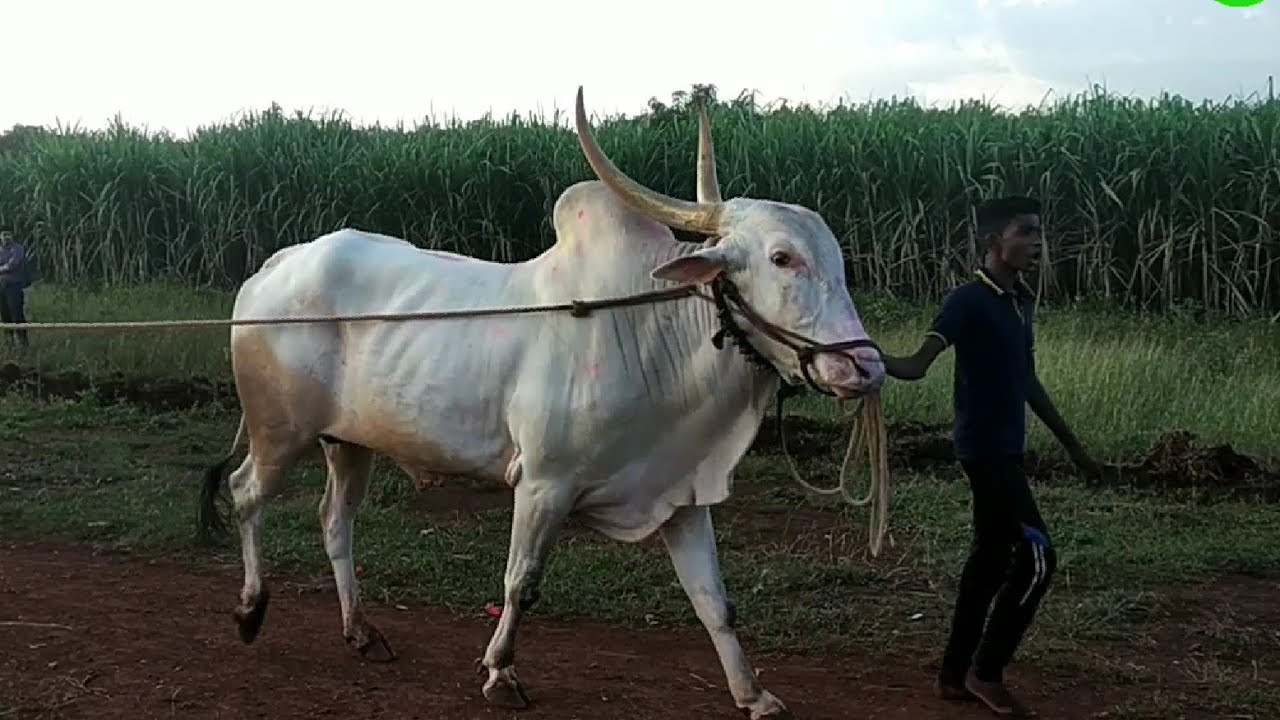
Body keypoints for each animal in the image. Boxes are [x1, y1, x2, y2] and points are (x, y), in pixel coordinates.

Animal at [197, 86, 886, 719]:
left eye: (836, 259)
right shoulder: (543, 483)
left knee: (334, 520)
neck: (651, 329)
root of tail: (273, 267)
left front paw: (753, 694)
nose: (866, 366)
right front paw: (500, 672)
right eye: (781, 258)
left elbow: (714, 601)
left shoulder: (681, 494)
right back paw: (251, 608)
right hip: (279, 430)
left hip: (349, 443)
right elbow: (520, 583)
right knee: (245, 492)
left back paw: (361, 632)